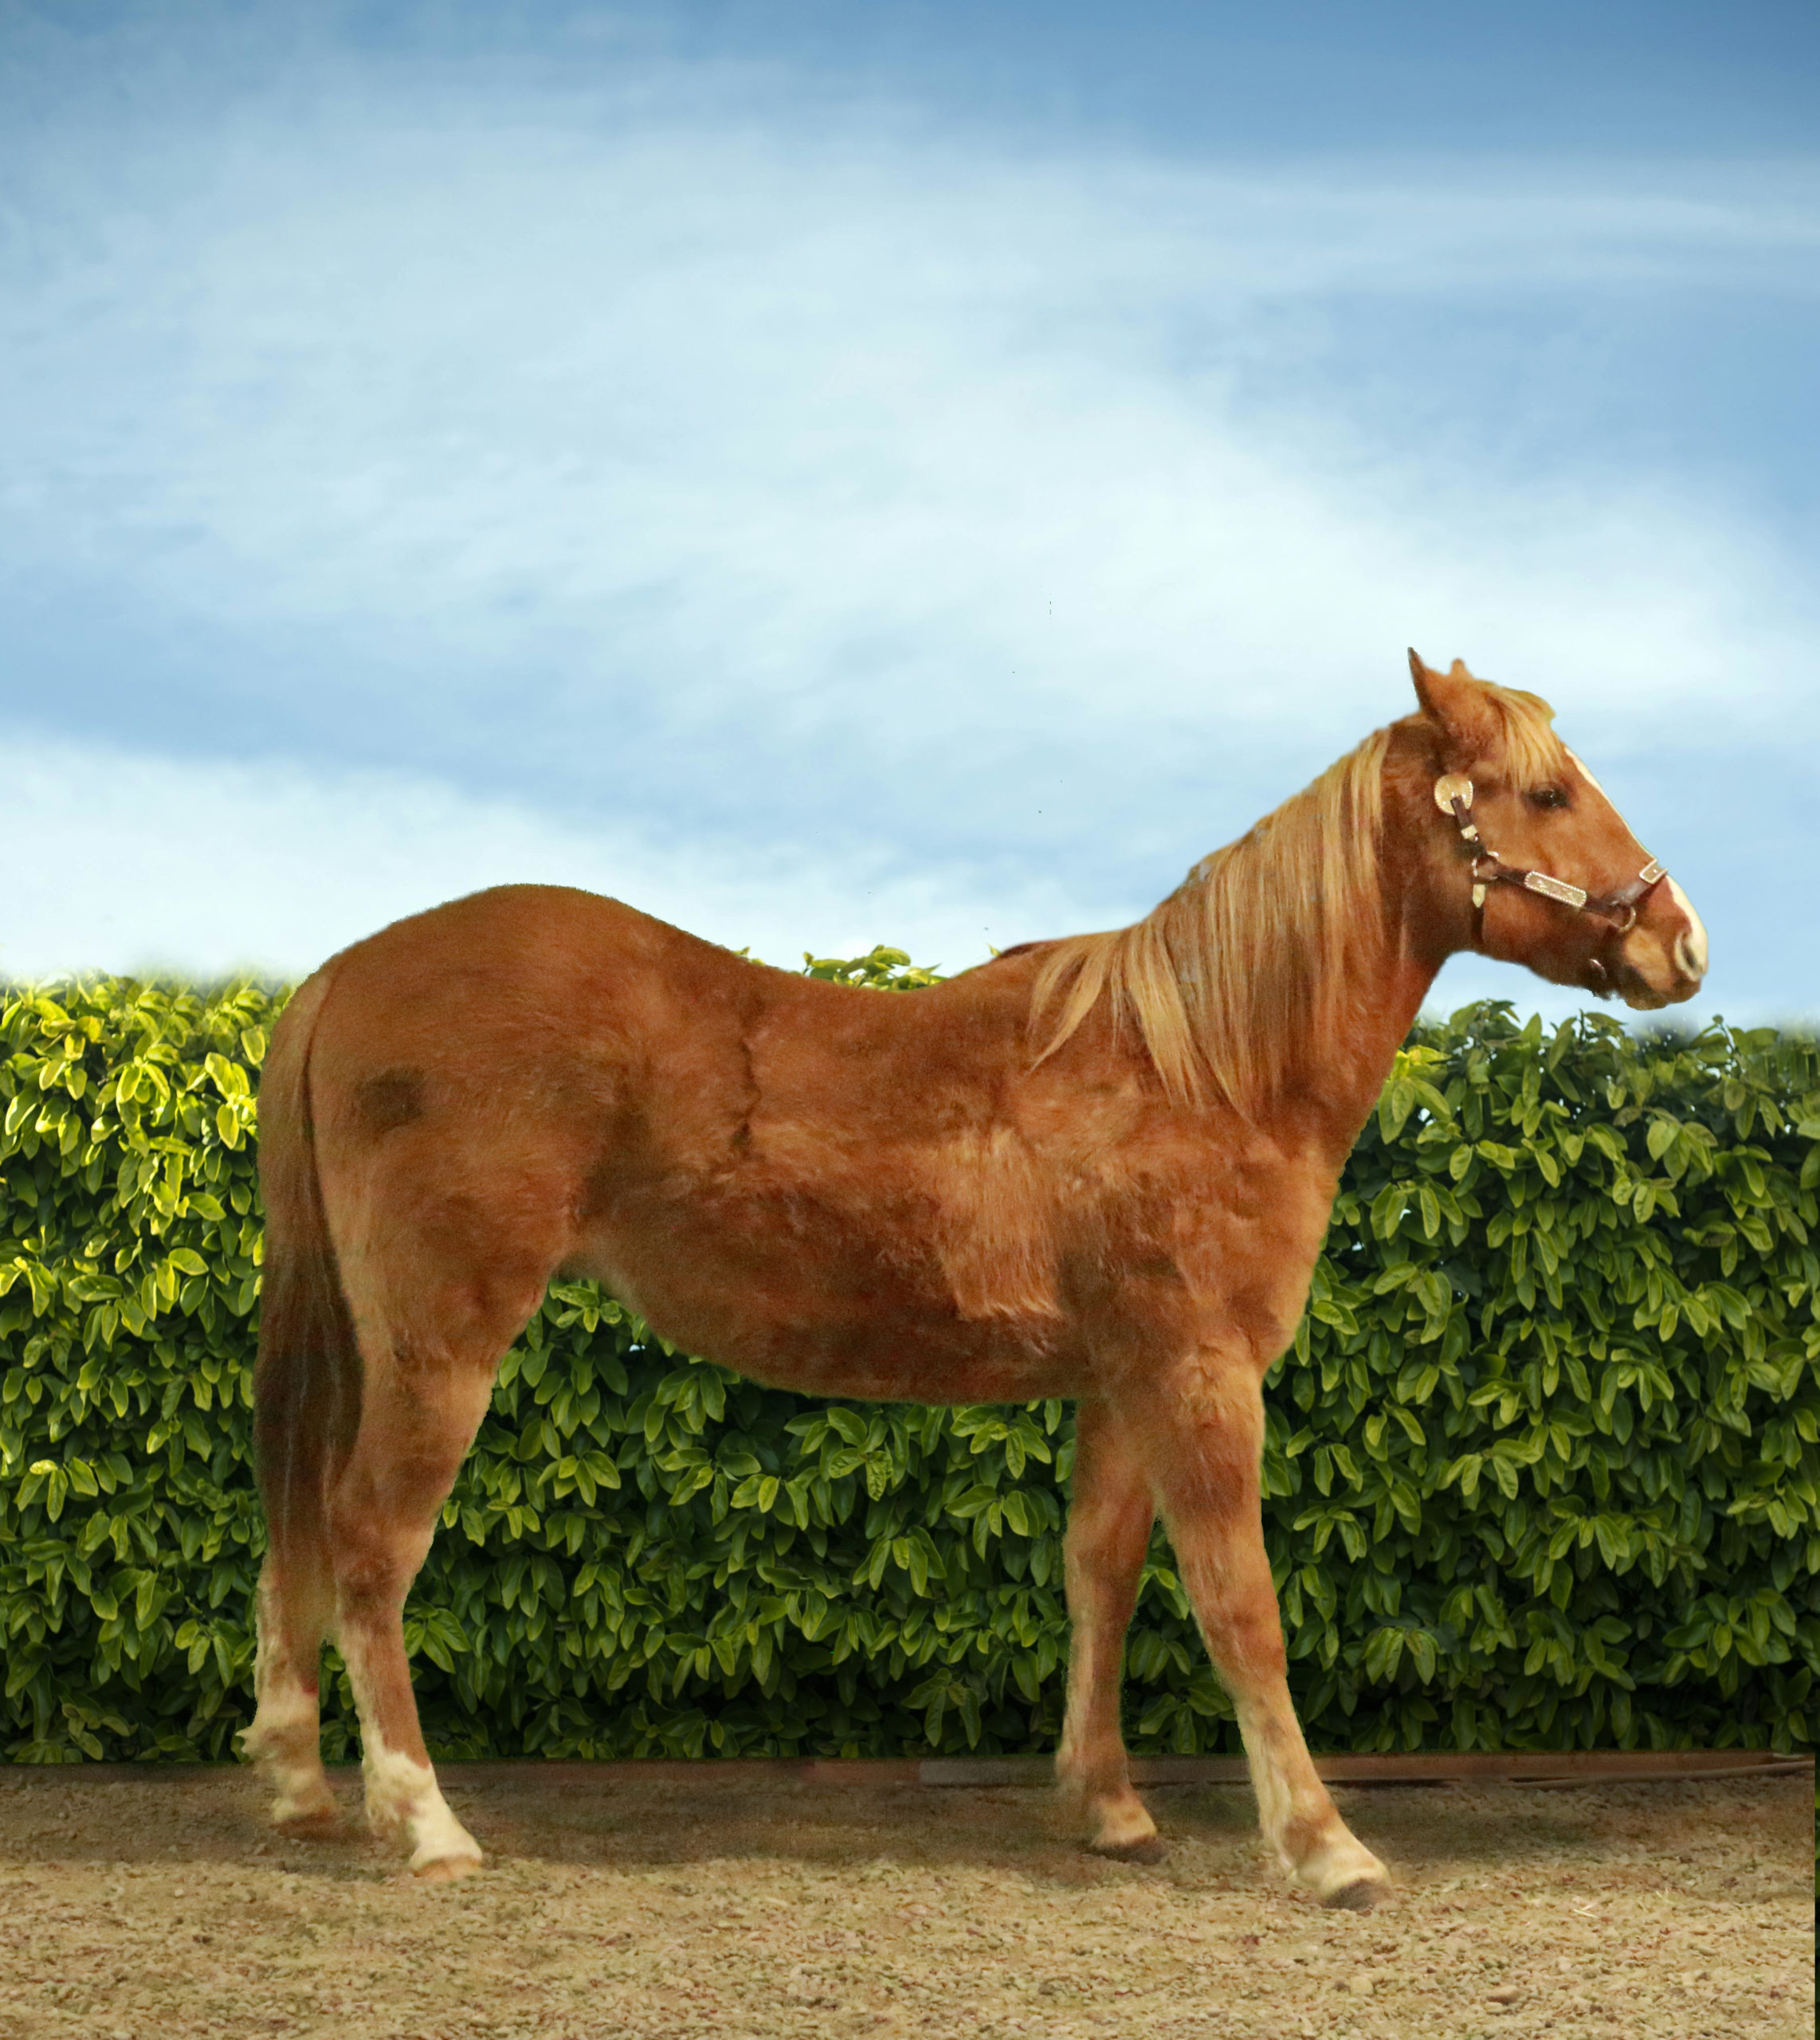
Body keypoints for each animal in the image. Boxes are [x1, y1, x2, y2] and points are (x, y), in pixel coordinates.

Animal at [242, 652, 1707, 1904]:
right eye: (1544, 794)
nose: (1680, 945)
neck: (1203, 1063)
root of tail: (347, 971)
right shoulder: (1200, 1376)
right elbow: (1241, 1607)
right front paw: (1321, 1844)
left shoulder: (1123, 1380)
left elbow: (1098, 1575)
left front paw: (1108, 1809)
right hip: (441, 1347)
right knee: (369, 1543)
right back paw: (423, 1822)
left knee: (303, 1527)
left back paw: (302, 1790)